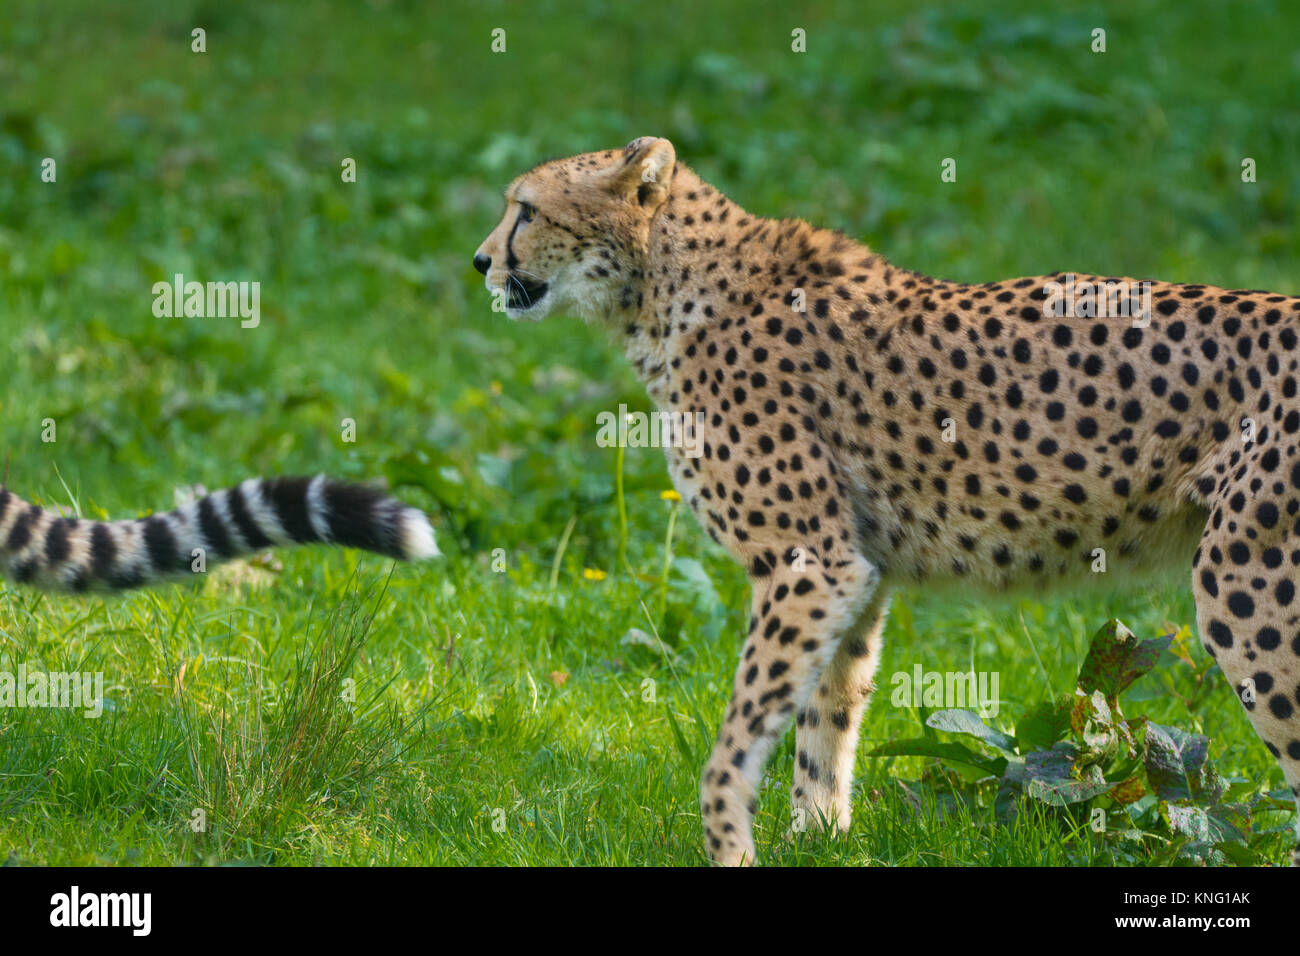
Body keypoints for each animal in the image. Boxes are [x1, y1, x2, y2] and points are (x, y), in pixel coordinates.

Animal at [472, 136, 1300, 866]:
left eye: (527, 210)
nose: (481, 259)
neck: (666, 289)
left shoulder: (808, 560)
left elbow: (741, 734)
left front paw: (729, 842)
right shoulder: (853, 571)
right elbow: (827, 714)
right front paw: (819, 836)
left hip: (1246, 587)